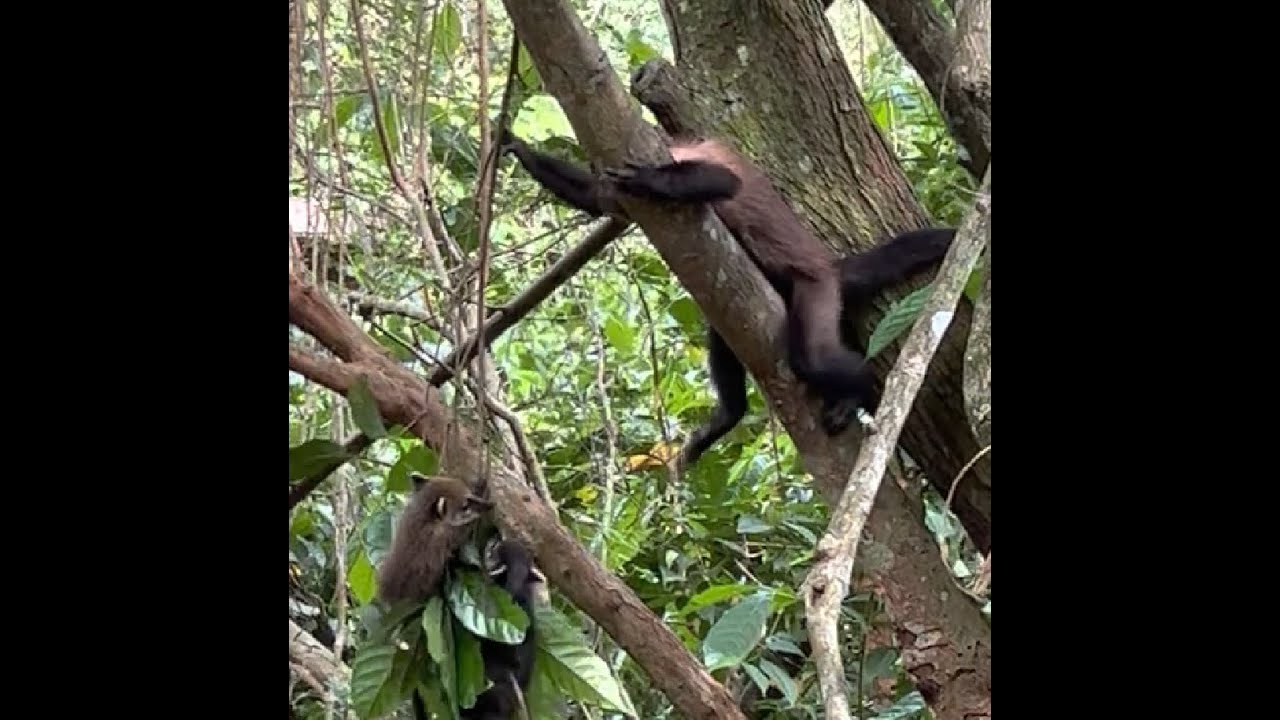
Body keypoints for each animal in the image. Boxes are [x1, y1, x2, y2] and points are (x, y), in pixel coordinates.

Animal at [498, 129, 954, 468]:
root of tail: (832, 266)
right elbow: (595, 198)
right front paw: (516, 145)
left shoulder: (676, 155)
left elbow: (723, 182)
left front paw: (652, 181)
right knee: (724, 333)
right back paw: (726, 417)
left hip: (817, 288)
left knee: (812, 357)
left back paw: (857, 392)